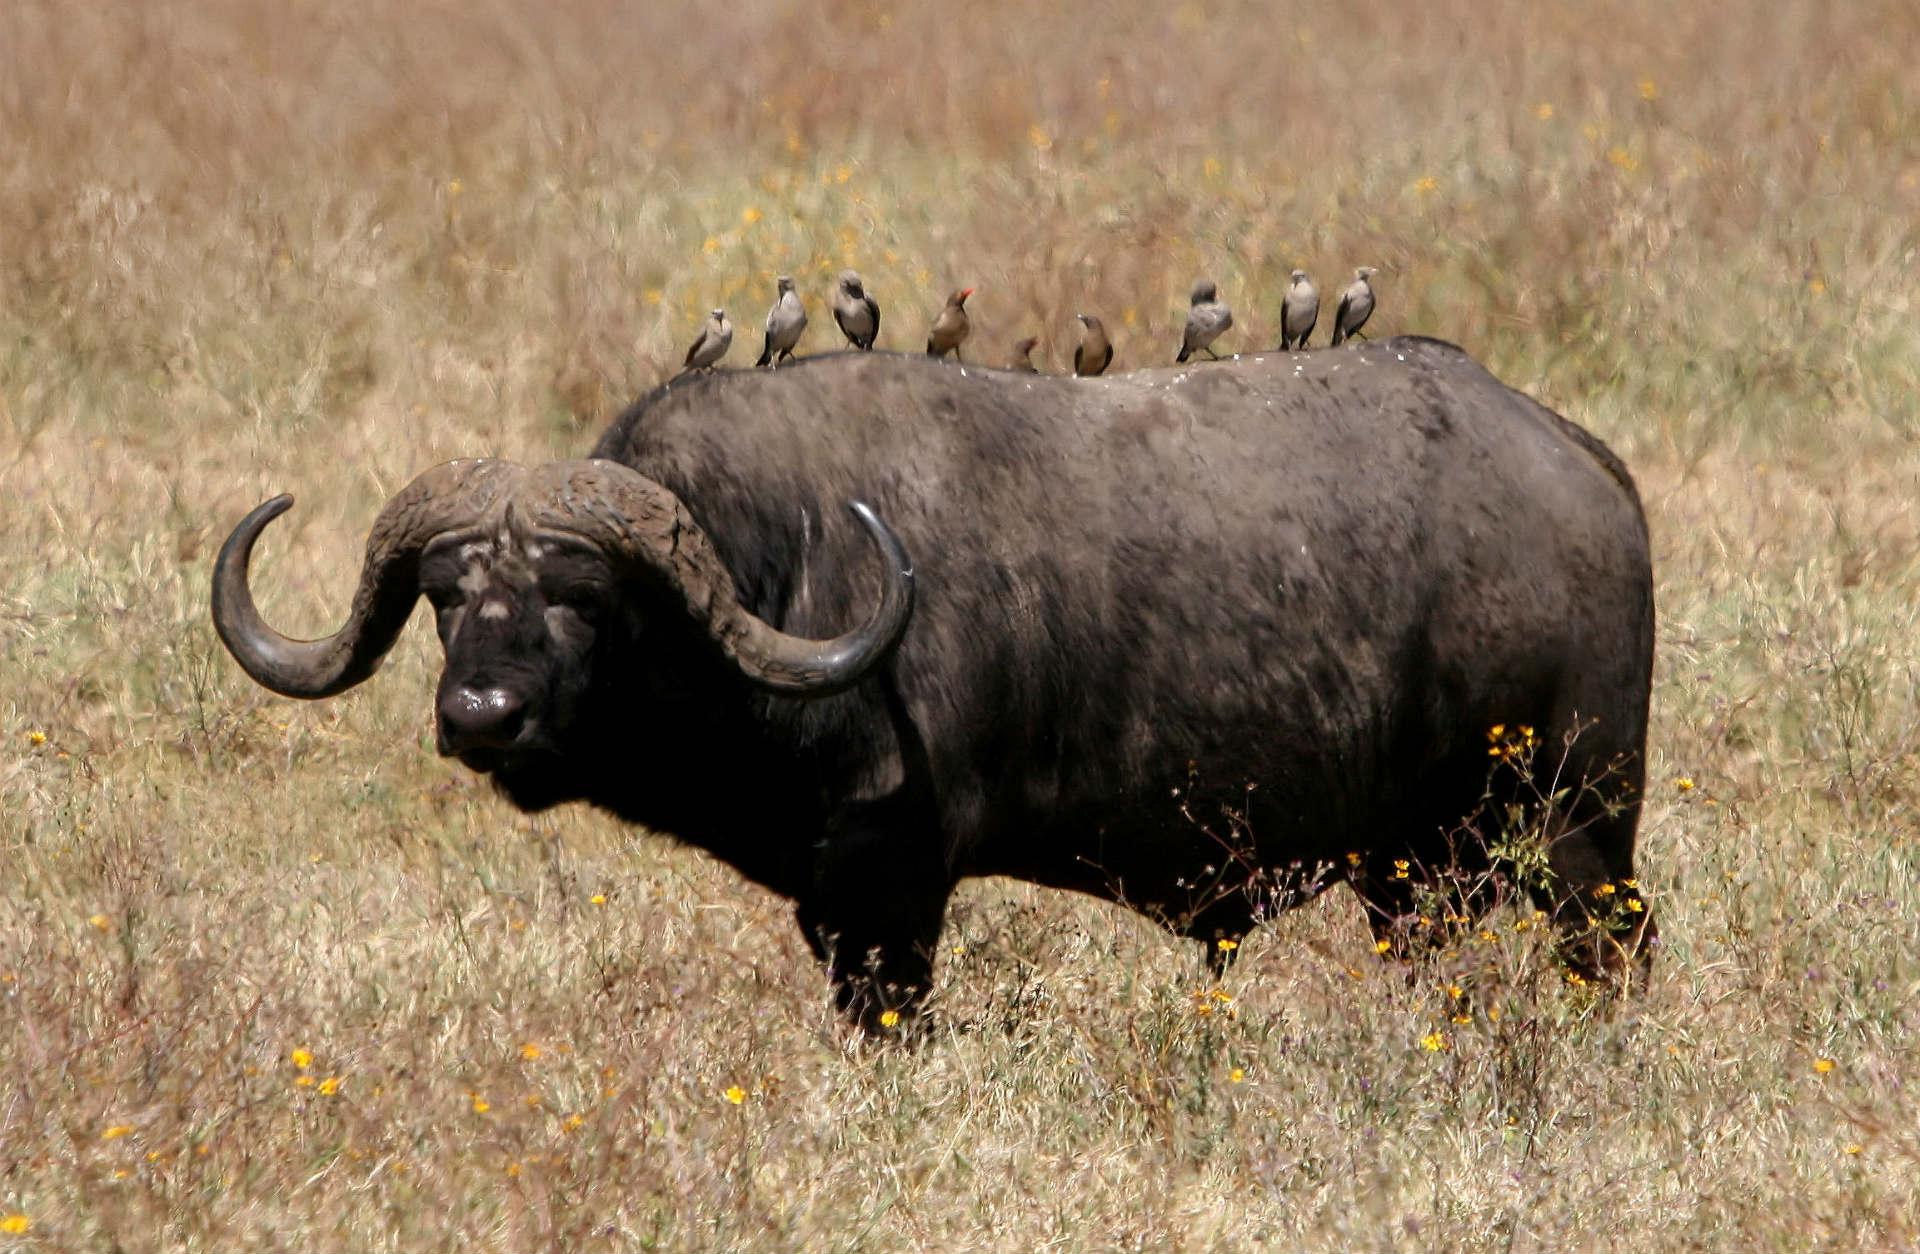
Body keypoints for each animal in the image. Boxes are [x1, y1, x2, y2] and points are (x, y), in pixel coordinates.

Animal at [213, 338, 1657, 1029]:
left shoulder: (890, 886)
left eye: (582, 599)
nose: (480, 716)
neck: (787, 564)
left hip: (1580, 824)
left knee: (1617, 950)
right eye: (449, 596)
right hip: (1417, 870)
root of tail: (1578, 460)